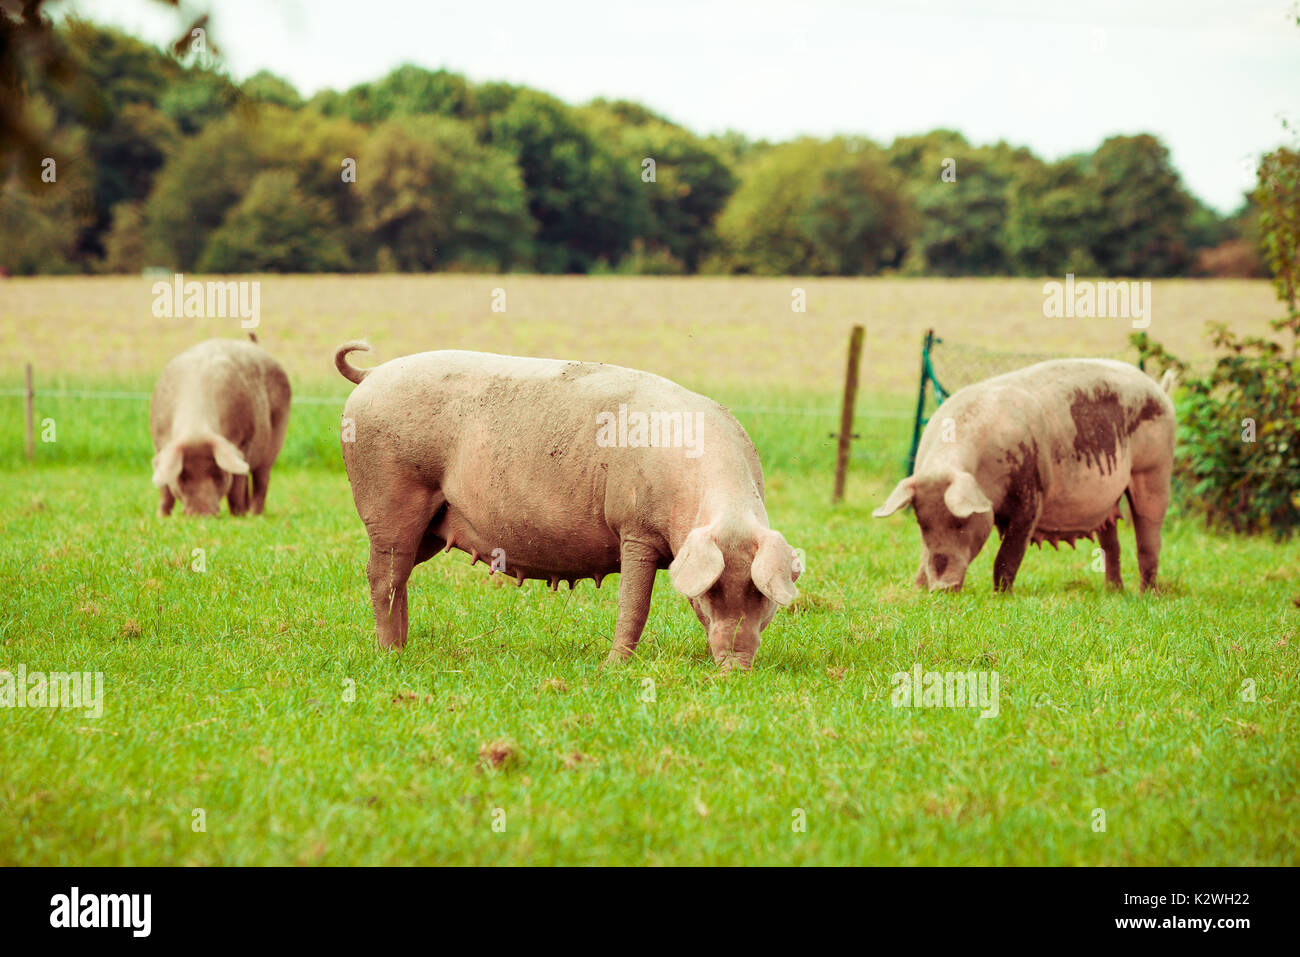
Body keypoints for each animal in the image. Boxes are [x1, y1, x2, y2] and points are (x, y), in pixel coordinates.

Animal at [150, 336, 291, 517]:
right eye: (182, 477)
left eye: (218, 475)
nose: (202, 514)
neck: (197, 430)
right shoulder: (160, 445)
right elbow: (165, 488)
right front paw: (162, 517)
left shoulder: (243, 442)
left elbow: (236, 486)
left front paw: (237, 516)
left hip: (277, 436)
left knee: (261, 479)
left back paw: (253, 515)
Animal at [334, 342, 801, 670]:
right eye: (712, 591)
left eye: (761, 596)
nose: (735, 668)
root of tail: (371, 373)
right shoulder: (635, 530)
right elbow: (635, 604)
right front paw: (613, 667)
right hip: (391, 496)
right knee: (382, 575)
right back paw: (390, 655)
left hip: (431, 525)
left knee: (400, 576)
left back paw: (403, 647)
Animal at [874, 359, 1175, 593]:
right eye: (921, 523)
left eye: (961, 523)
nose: (942, 588)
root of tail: (1159, 389)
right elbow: (924, 553)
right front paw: (918, 590)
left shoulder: (1031, 493)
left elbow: (1009, 554)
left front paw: (1001, 596)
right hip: (1108, 503)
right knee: (1111, 545)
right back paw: (1114, 592)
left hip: (1154, 471)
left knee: (1149, 540)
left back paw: (1146, 594)